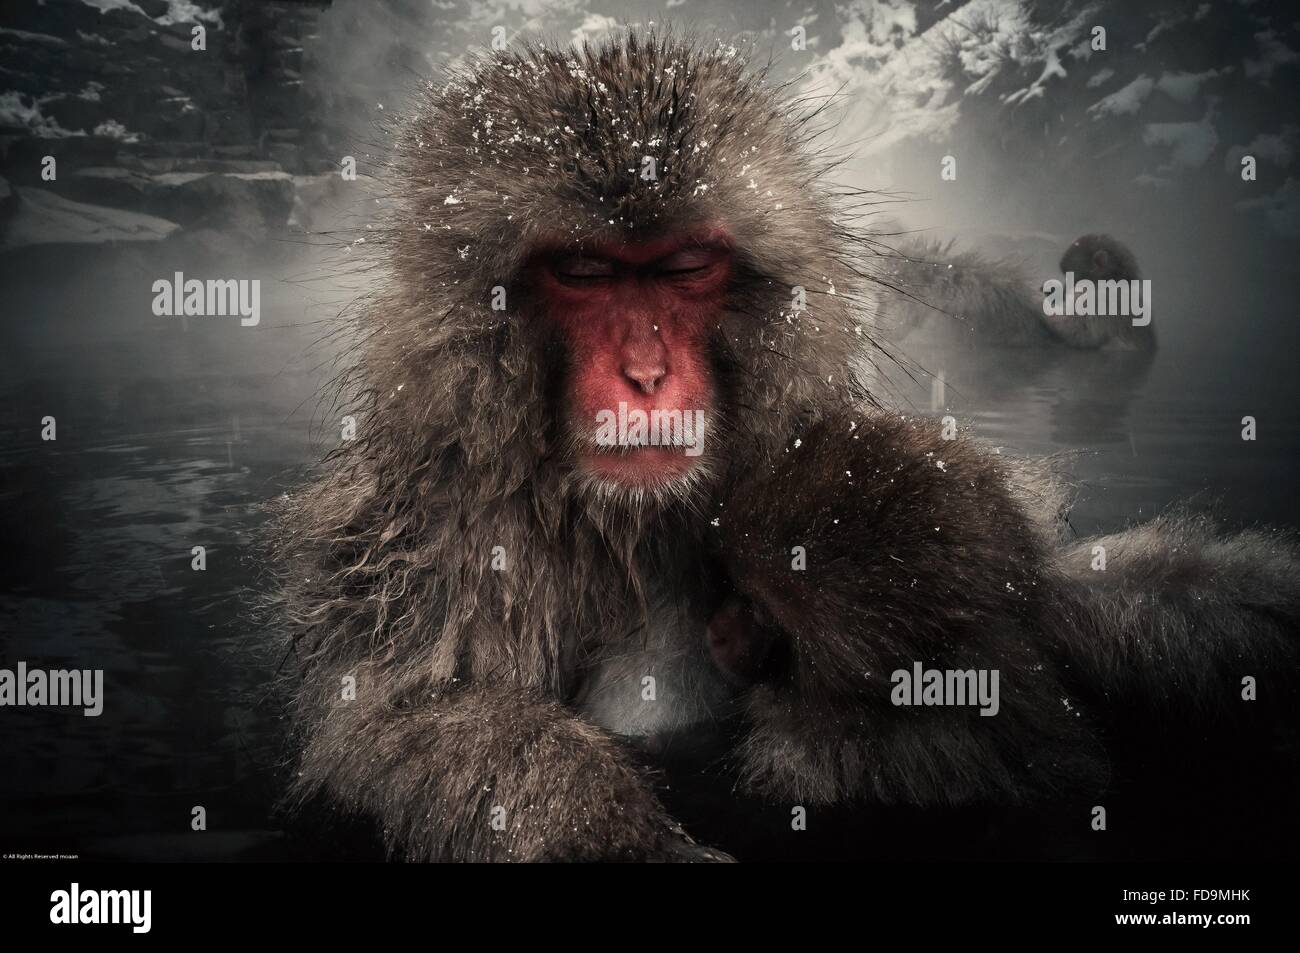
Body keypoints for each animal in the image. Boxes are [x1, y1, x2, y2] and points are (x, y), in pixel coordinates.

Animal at [269, 31, 1298, 862]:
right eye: (586, 271)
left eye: (686, 266)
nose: (646, 373)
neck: (634, 523)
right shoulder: (408, 533)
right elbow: (398, 723)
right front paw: (611, 831)